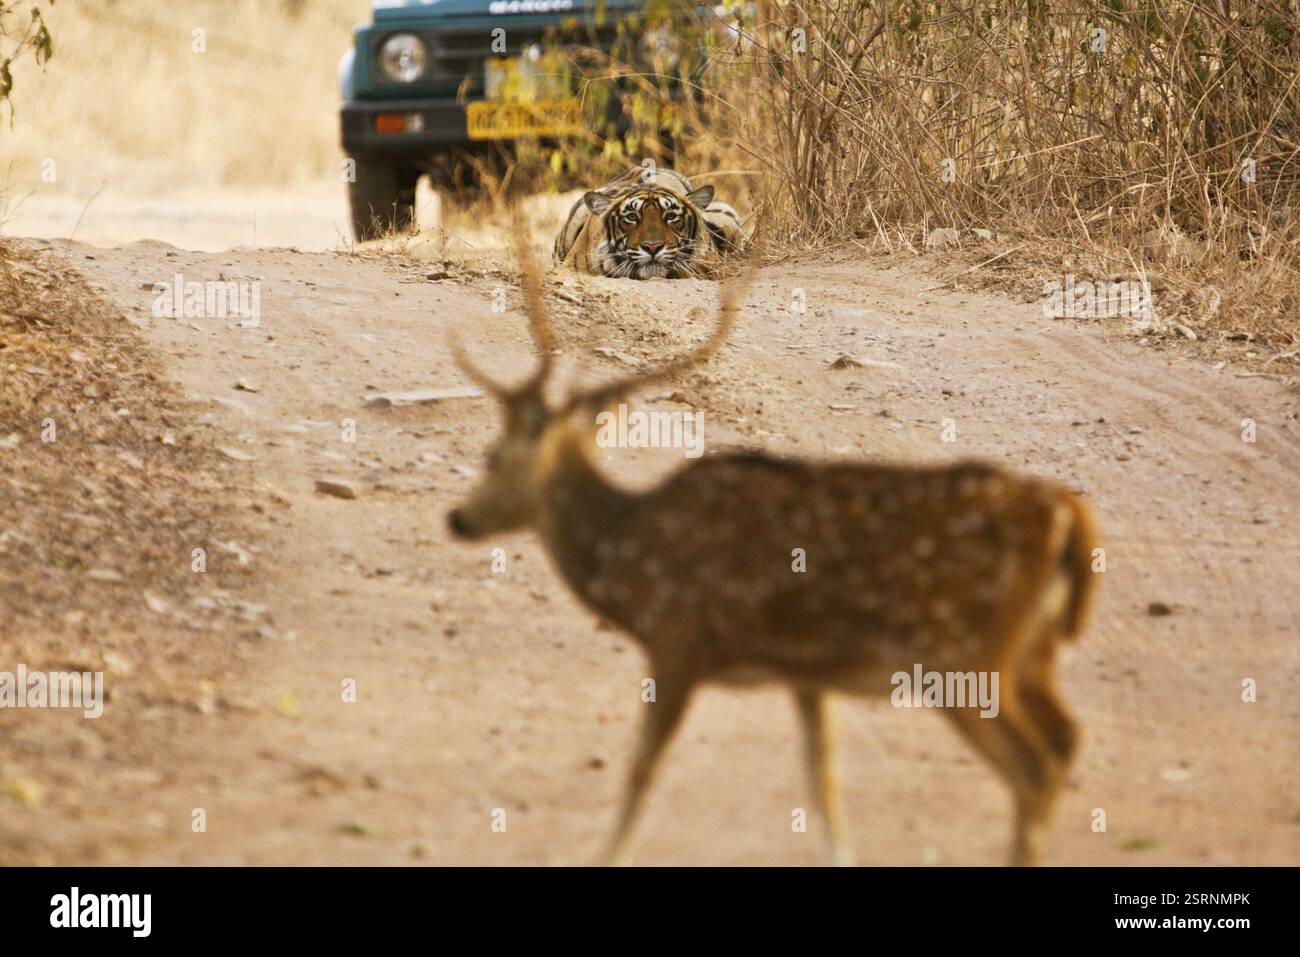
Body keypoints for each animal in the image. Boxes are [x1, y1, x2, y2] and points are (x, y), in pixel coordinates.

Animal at [446, 236, 1101, 866]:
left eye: (492, 457)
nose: (459, 518)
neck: (632, 559)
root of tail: (1067, 518)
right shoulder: (805, 673)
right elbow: (823, 781)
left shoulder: (679, 640)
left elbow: (640, 769)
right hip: (1031, 653)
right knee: (1066, 737)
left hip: (962, 654)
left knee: (1033, 765)